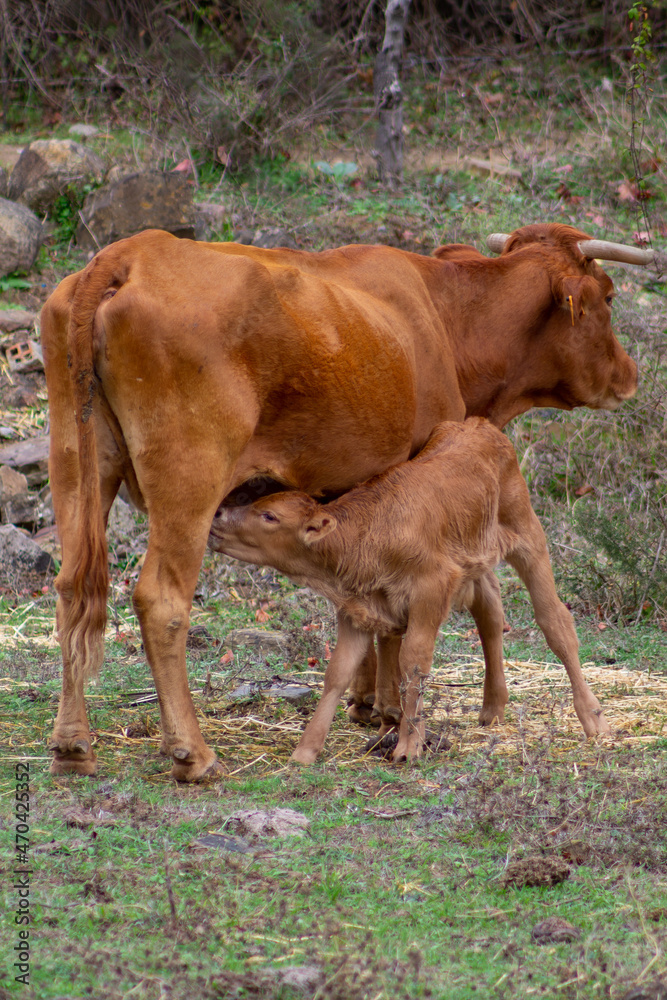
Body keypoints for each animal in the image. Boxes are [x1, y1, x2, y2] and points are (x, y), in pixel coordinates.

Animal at [208, 418, 609, 763]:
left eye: (270, 516)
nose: (217, 515)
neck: (367, 534)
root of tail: (477, 424)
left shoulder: (432, 587)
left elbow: (413, 661)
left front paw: (409, 745)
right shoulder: (357, 610)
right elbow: (338, 672)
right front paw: (305, 751)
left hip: (527, 536)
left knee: (554, 620)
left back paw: (592, 718)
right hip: (476, 563)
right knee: (490, 616)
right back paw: (493, 708)